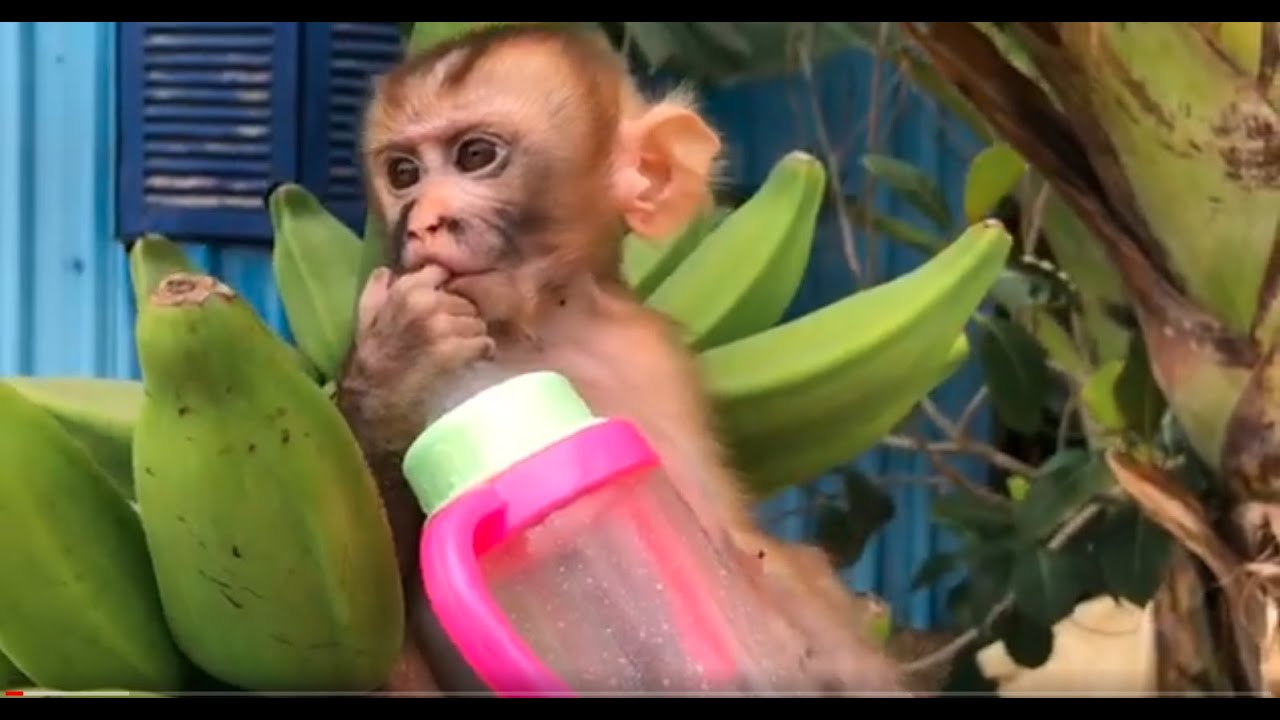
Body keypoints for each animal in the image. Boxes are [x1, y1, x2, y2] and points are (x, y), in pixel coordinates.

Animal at [336, 22, 911, 697]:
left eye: (476, 156)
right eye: (403, 172)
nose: (423, 223)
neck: (546, 325)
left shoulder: (650, 354)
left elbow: (741, 546)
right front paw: (399, 361)